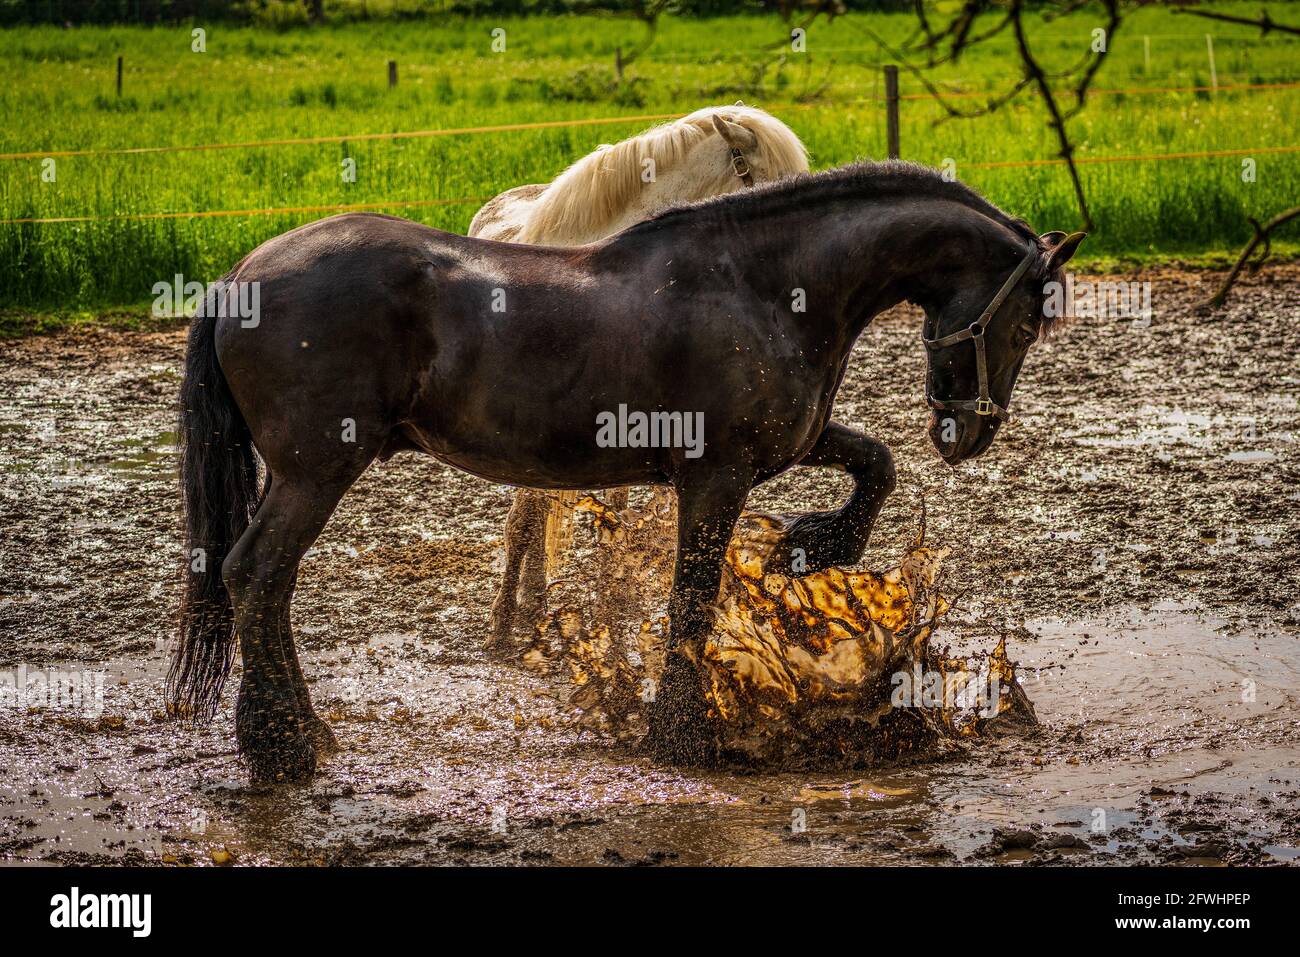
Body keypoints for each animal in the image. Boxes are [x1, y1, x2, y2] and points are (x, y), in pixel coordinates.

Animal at [168, 159, 1084, 783]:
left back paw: (298, 733)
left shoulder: (786, 446)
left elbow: (875, 463)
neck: (766, 284)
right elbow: (691, 602)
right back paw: (282, 744)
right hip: (315, 471)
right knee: (257, 573)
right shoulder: (716, 477)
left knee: (263, 581)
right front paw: (683, 734)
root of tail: (240, 276)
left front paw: (820, 544)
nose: (968, 433)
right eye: (1024, 324)